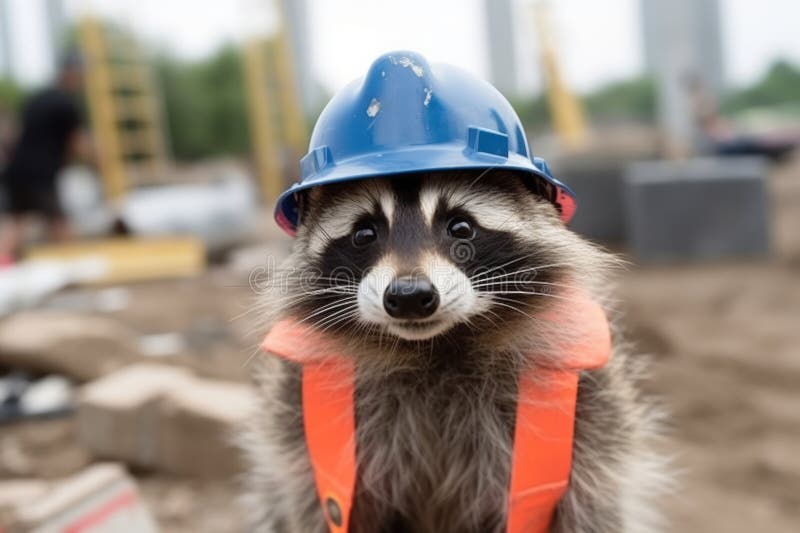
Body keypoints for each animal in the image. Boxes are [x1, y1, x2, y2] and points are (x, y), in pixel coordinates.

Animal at [240, 170, 666, 533]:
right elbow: (312, 506)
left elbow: (593, 507)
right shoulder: (296, 424)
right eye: (364, 233)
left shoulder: (592, 411)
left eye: (461, 226)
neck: (434, 346)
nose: (409, 297)